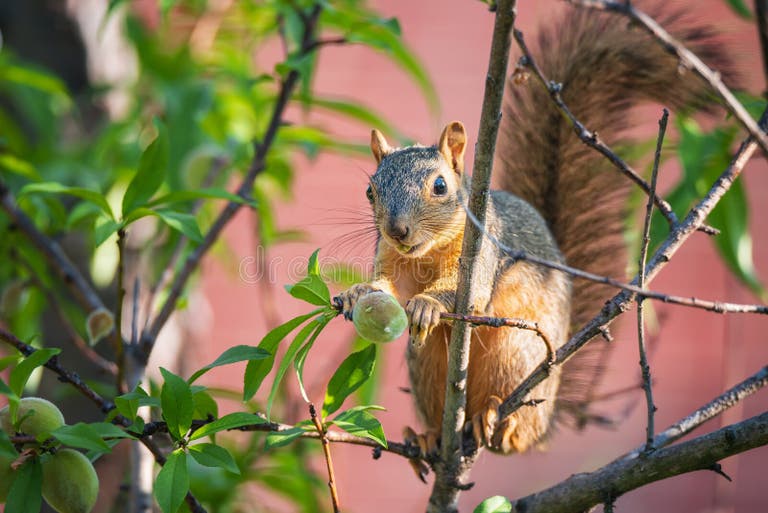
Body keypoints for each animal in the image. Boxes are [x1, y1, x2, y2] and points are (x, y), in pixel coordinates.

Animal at [335, 7, 730, 459]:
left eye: (439, 186)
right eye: (370, 191)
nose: (397, 230)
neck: (428, 253)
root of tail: (547, 418)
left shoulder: (483, 253)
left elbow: (468, 293)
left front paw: (428, 305)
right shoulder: (390, 257)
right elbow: (387, 287)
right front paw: (359, 292)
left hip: (515, 353)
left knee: (513, 425)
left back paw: (494, 416)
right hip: (427, 369)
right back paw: (429, 436)